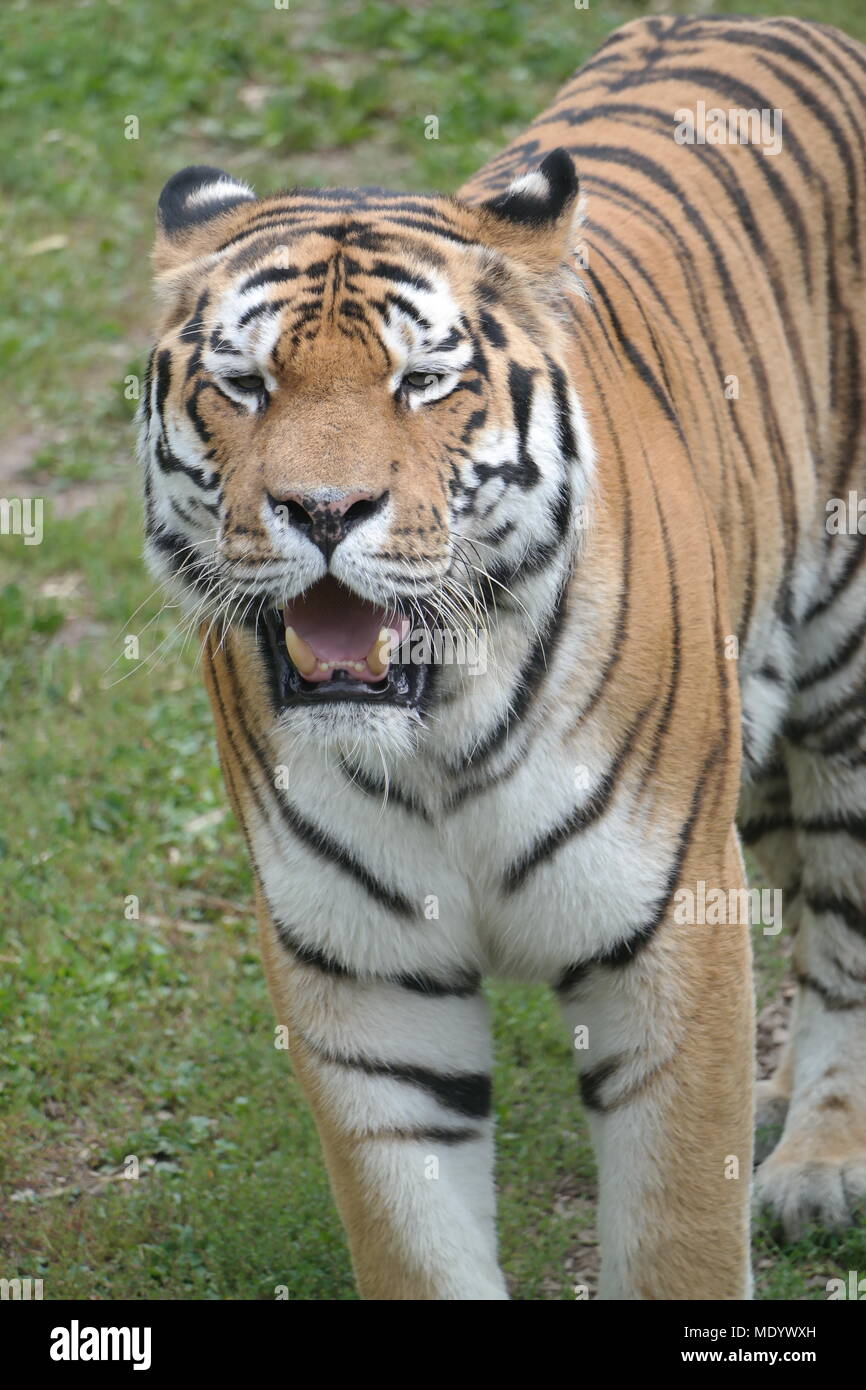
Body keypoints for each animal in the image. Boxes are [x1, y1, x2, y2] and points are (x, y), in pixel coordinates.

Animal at [138, 12, 866, 1299]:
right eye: (245, 384)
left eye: (422, 382)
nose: (322, 510)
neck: (437, 733)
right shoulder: (364, 975)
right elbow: (414, 1240)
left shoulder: (667, 933)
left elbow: (677, 1233)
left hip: (843, 687)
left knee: (844, 932)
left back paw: (819, 1158)